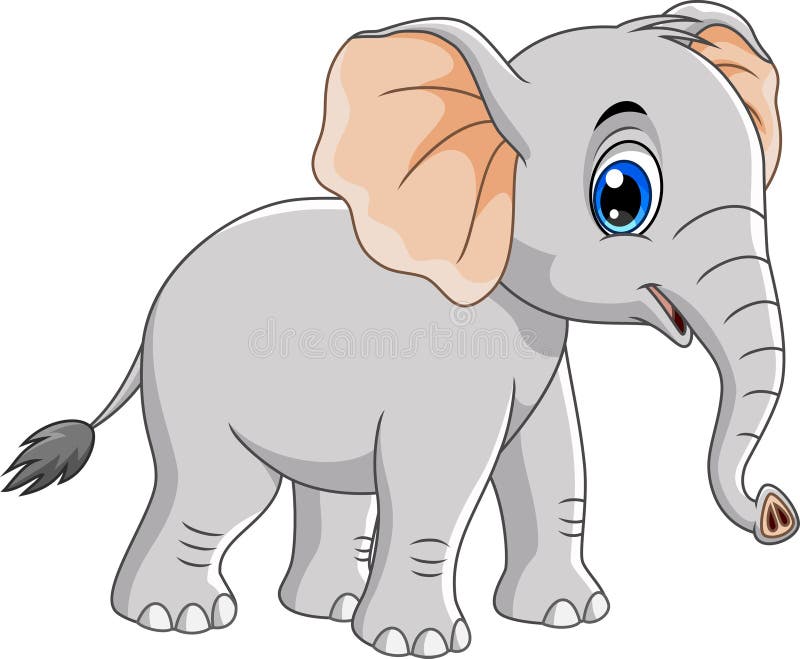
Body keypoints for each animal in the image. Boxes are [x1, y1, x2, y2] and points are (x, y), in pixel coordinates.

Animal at [4, 2, 795, 657]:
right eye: (621, 197)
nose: (777, 511)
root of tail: (152, 310)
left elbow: (555, 465)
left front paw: (568, 618)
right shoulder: (448, 367)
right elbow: (442, 482)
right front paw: (420, 645)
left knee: (331, 492)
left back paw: (322, 609)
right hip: (194, 388)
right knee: (223, 491)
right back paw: (178, 620)